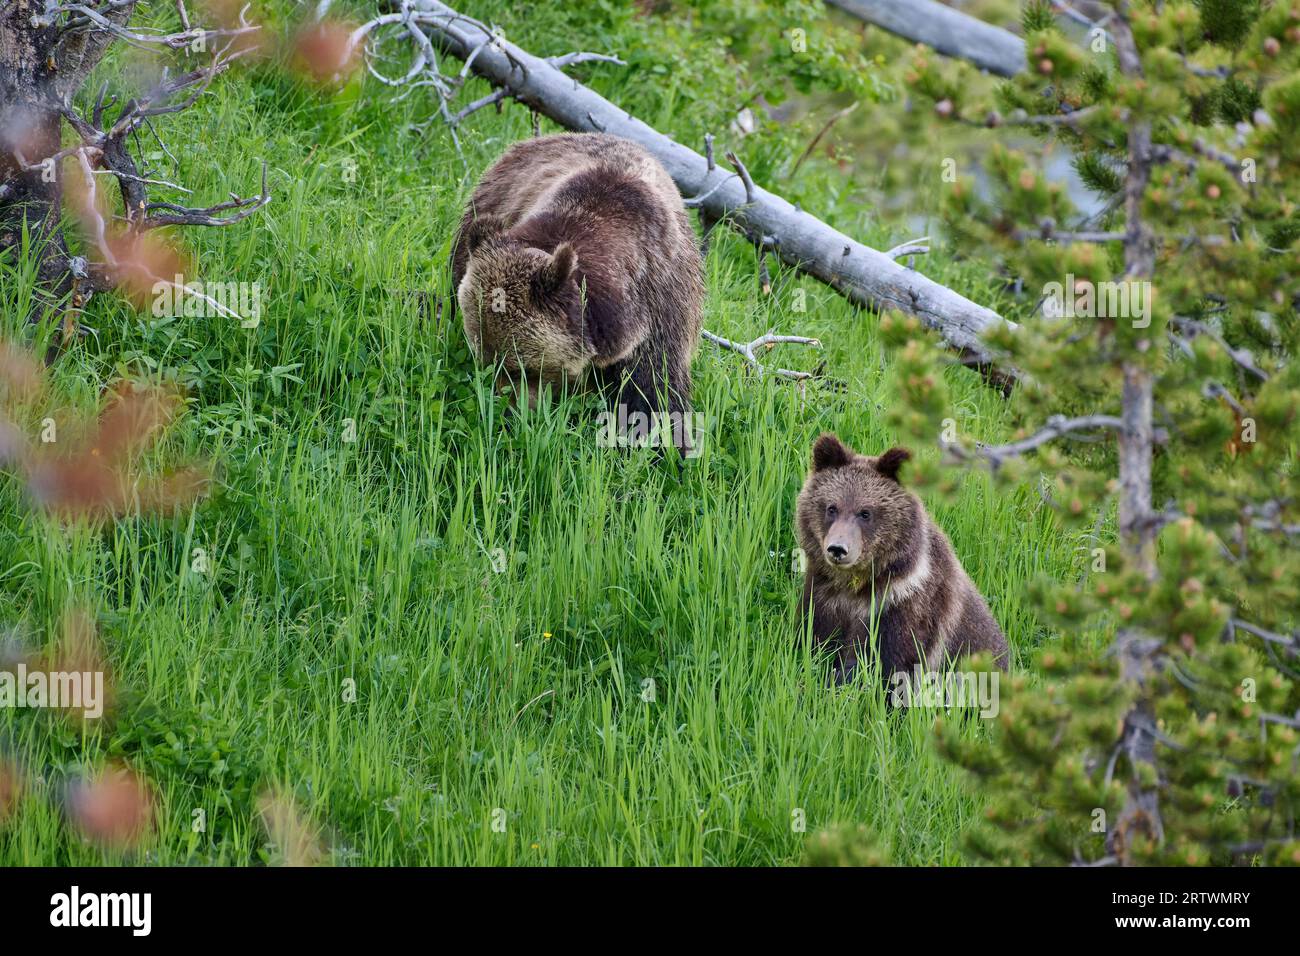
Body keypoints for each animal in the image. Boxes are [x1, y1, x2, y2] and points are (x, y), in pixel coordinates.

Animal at [794, 433, 1009, 689]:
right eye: (831, 508)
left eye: (865, 513)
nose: (838, 549)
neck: (857, 586)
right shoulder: (824, 598)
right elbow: (814, 640)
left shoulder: (900, 607)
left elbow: (886, 667)